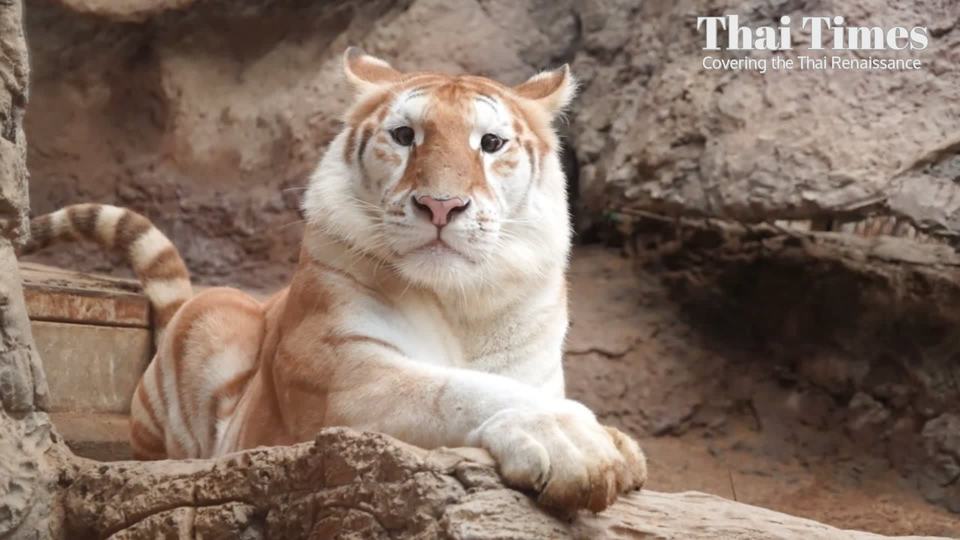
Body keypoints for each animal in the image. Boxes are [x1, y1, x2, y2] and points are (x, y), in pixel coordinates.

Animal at [22, 48, 646, 514]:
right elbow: (456, 389)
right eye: (404, 135)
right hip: (213, 315)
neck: (462, 304)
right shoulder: (343, 378)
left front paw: (618, 444)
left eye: (490, 144)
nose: (441, 206)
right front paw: (575, 443)